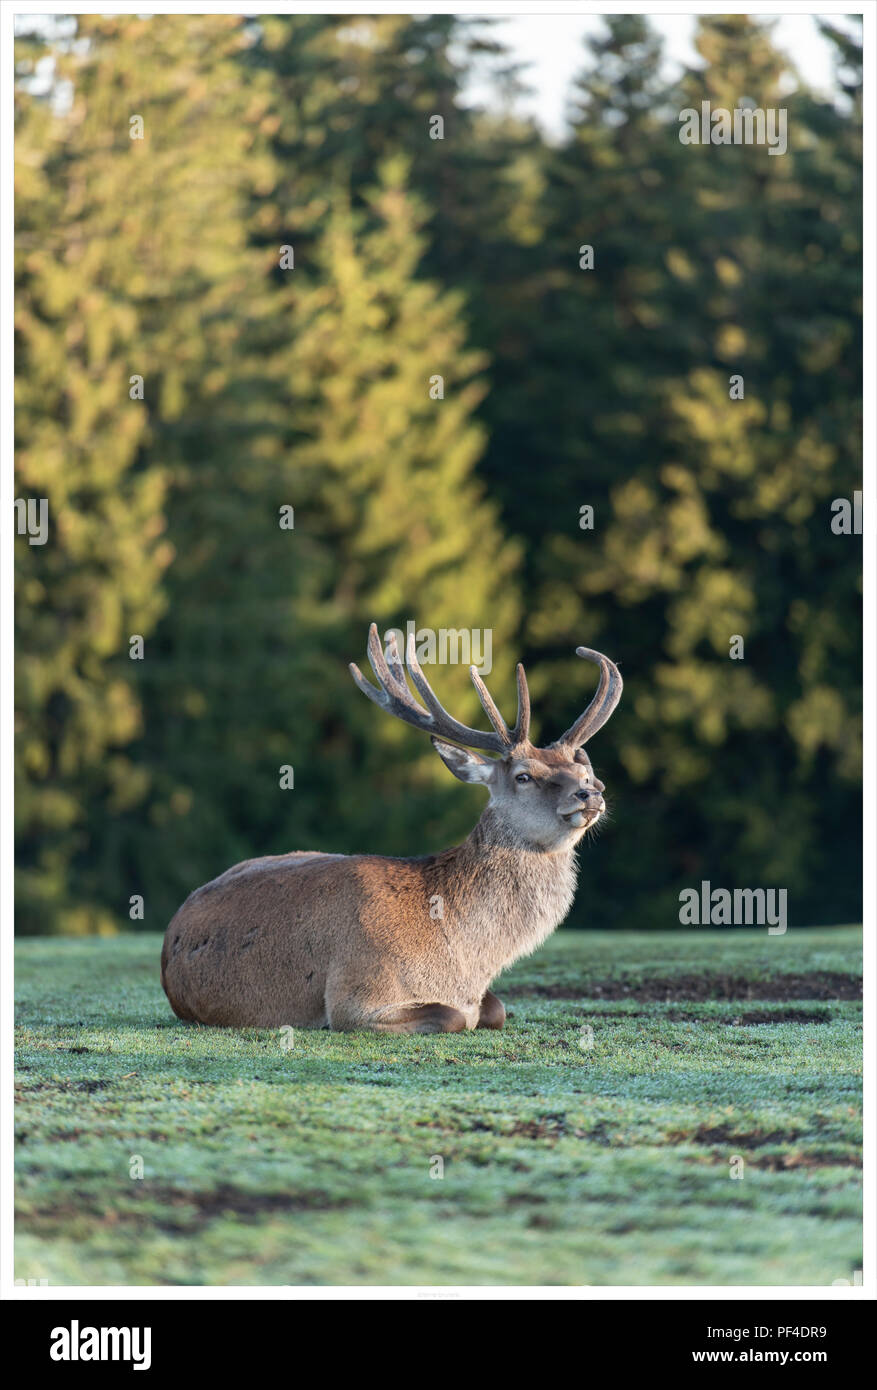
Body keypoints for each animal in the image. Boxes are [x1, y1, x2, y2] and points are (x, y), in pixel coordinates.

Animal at [161, 624, 622, 1033]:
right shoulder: (354, 994)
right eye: (523, 776)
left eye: (583, 770)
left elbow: (496, 1009)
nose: (591, 792)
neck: (463, 960)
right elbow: (454, 1016)